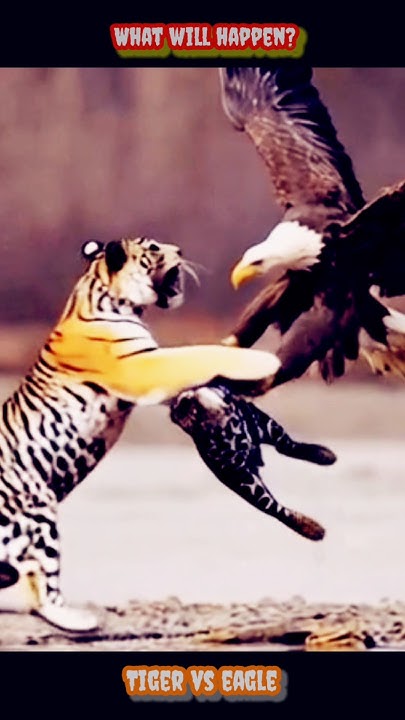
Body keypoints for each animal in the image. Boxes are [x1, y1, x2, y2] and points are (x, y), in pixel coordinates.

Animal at [0, 236, 280, 632]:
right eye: (154, 248)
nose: (180, 250)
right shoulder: (146, 365)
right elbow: (197, 353)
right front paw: (262, 361)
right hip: (39, 509)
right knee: (42, 586)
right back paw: (79, 620)